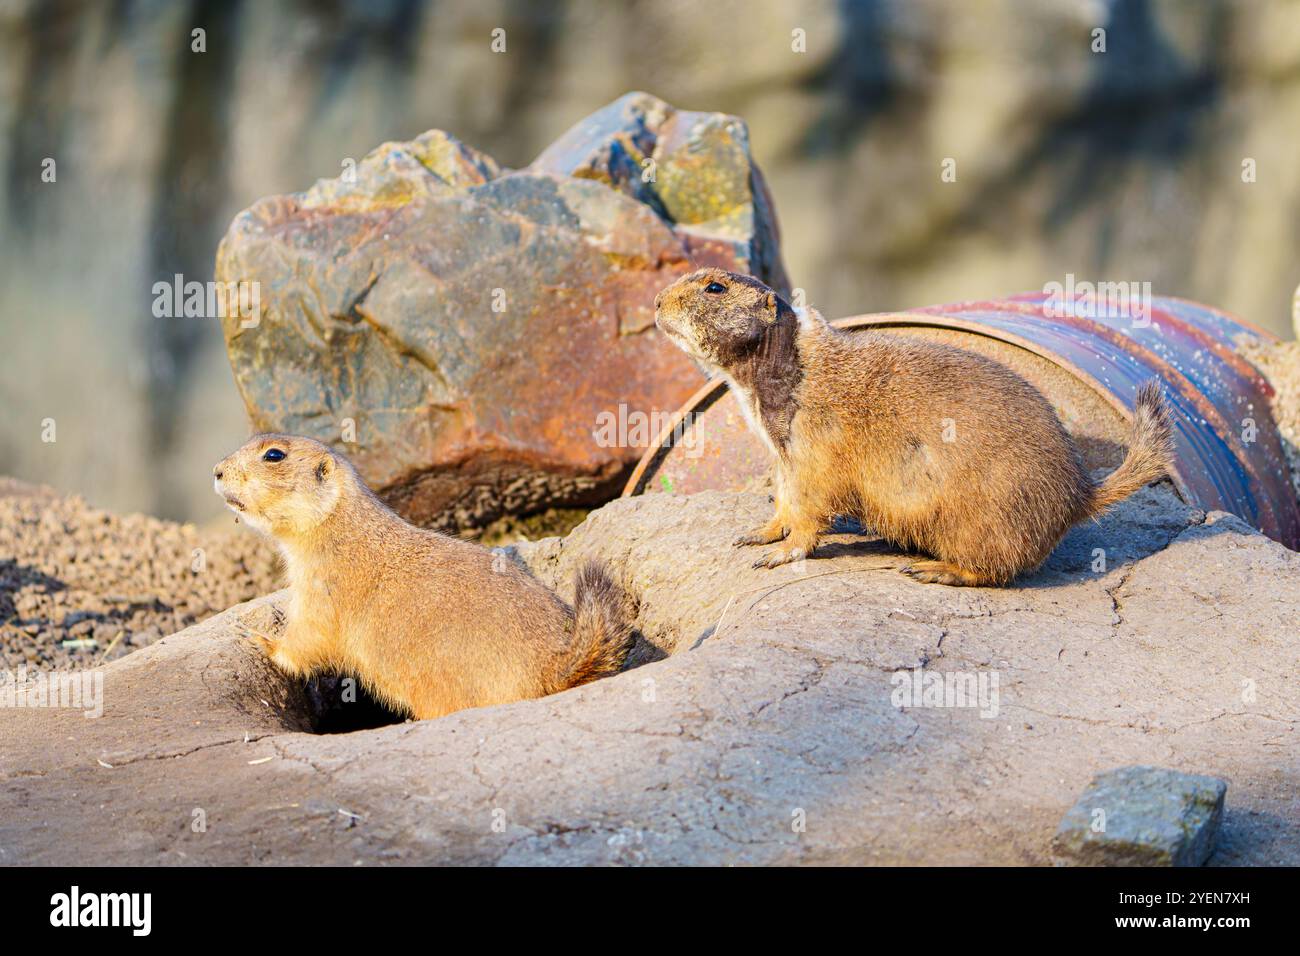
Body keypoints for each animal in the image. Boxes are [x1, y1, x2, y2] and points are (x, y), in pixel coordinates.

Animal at [213, 435, 635, 719]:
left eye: (274, 454)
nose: (215, 470)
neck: (339, 525)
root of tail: (556, 662)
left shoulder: (324, 586)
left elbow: (311, 636)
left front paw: (261, 640)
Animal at [653, 268, 1174, 587]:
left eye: (715, 288)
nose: (656, 300)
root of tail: (1079, 494)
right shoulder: (782, 449)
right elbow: (783, 496)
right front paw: (759, 532)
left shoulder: (814, 444)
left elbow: (809, 503)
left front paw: (782, 552)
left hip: (982, 524)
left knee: (998, 569)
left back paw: (939, 570)